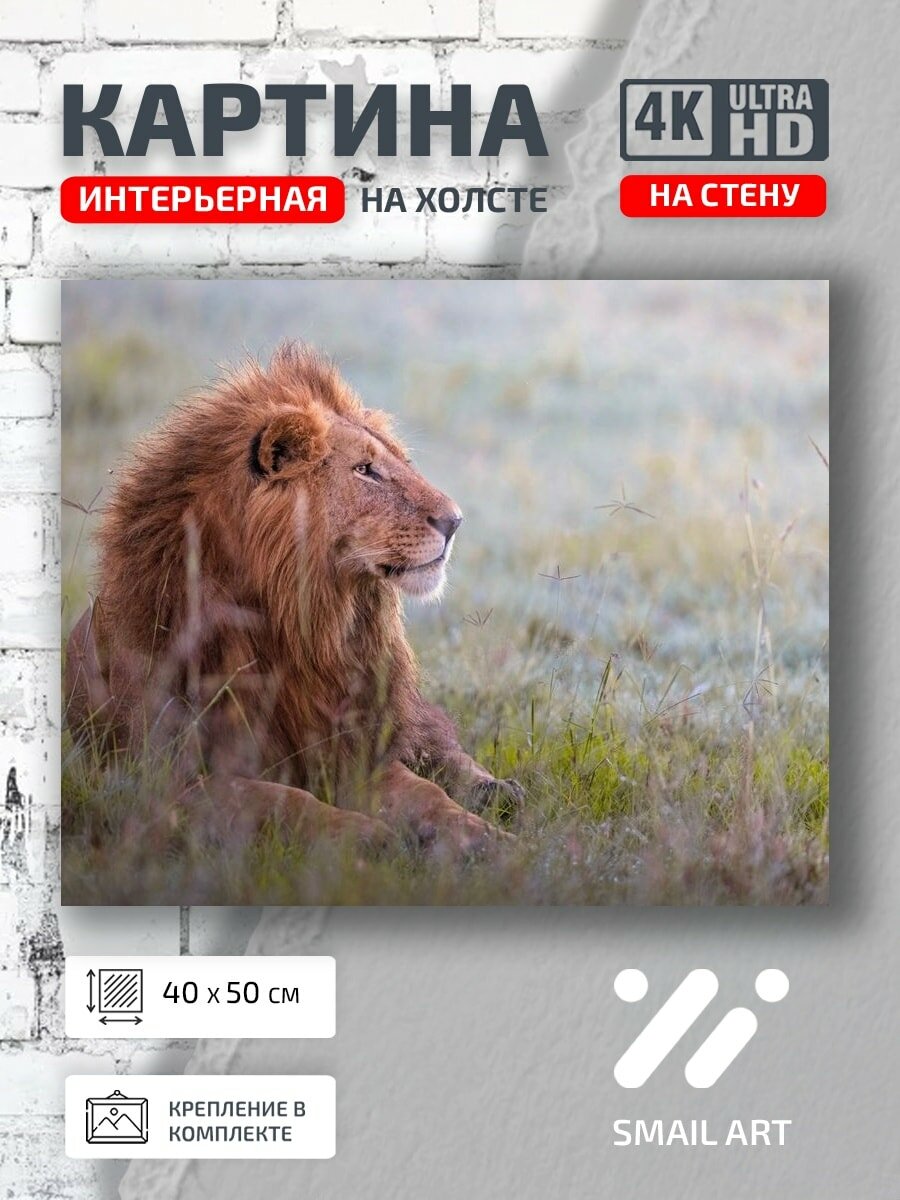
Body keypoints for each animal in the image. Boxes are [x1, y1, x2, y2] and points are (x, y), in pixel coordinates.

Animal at [64, 343, 522, 855]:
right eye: (365, 470)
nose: (456, 521)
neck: (303, 630)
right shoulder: (168, 783)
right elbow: (282, 800)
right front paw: (366, 836)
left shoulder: (351, 748)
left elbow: (426, 793)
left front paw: (489, 840)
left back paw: (498, 791)